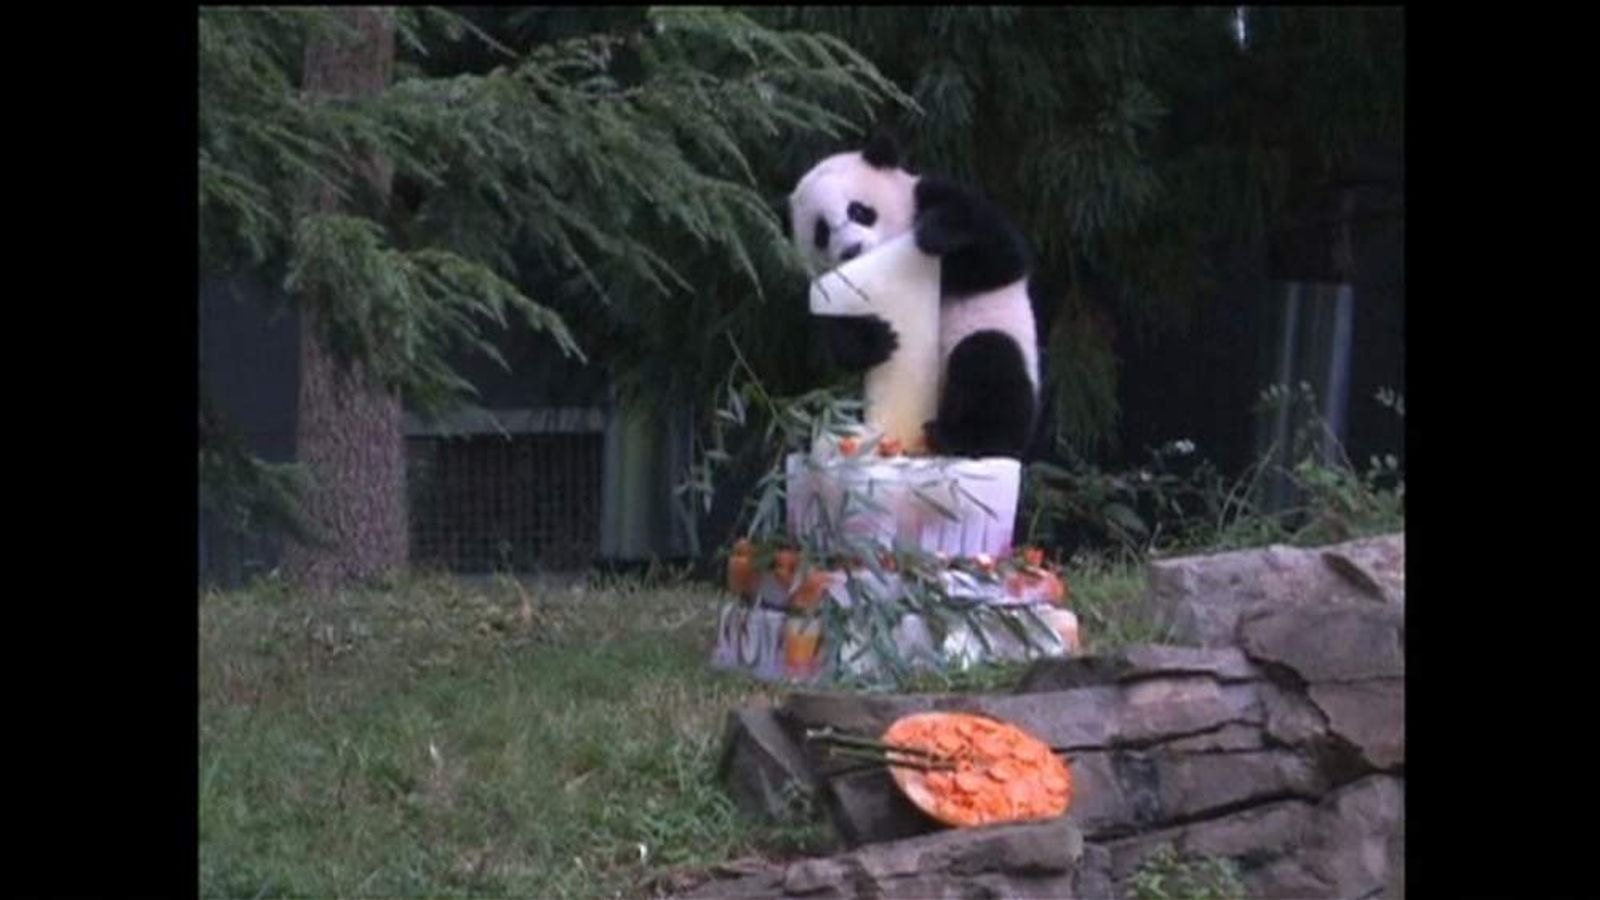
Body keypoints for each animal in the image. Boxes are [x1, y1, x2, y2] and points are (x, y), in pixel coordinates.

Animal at [787, 131, 1042, 460]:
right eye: (821, 232)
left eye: (858, 211)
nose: (852, 250)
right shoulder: (834, 289)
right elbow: (839, 337)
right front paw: (876, 339)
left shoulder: (928, 196)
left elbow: (1002, 257)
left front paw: (934, 233)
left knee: (989, 363)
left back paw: (962, 438)